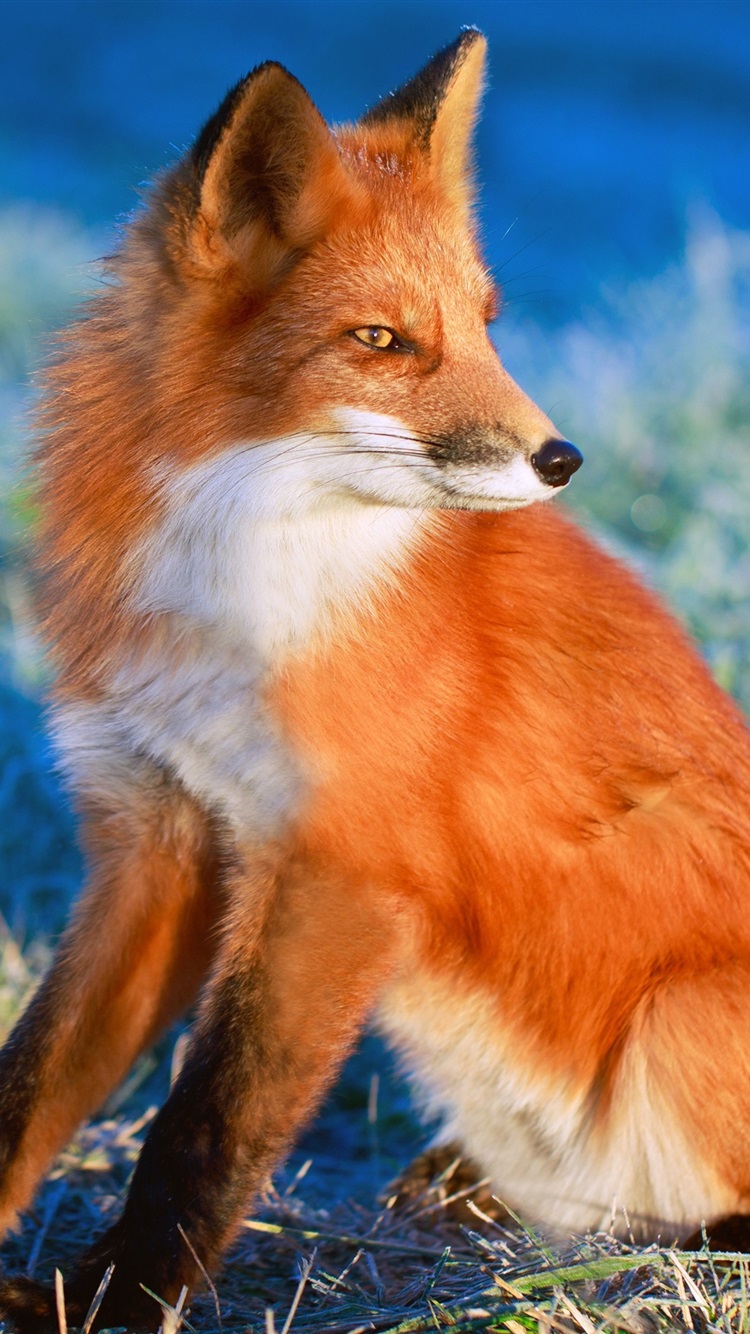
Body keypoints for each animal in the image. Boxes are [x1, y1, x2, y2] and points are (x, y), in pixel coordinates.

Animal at [1, 25, 750, 1332]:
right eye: (381, 339)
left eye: (488, 320)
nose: (561, 457)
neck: (240, 590)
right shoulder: (154, 839)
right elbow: (33, 1079)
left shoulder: (338, 872)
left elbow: (207, 1127)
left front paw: (112, 1300)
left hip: (671, 1020)